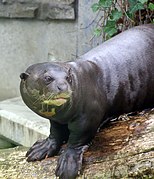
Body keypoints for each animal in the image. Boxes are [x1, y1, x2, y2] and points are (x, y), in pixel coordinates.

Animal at [19, 24, 154, 179]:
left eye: (68, 78)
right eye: (47, 78)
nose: (63, 87)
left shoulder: (89, 114)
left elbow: (79, 137)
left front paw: (69, 161)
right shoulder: (56, 119)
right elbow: (55, 132)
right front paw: (43, 147)